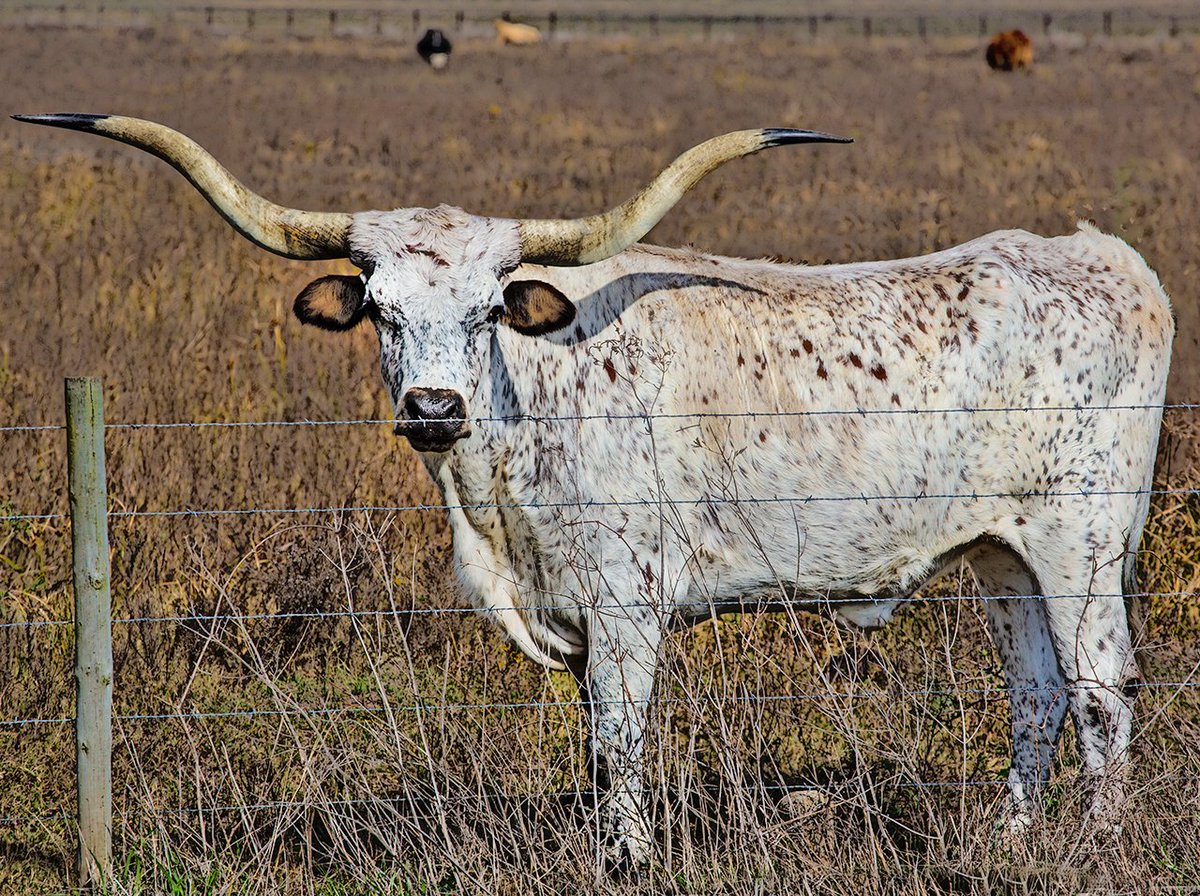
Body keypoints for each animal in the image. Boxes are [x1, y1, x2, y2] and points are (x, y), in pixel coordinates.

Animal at [14, 112, 1171, 869]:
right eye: (381, 308)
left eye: (489, 307)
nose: (433, 405)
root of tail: (1102, 255)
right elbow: (593, 744)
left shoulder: (624, 609)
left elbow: (619, 744)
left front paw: (629, 858)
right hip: (1002, 554)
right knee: (1035, 692)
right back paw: (1012, 839)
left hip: (1079, 544)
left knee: (1101, 689)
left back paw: (1099, 845)